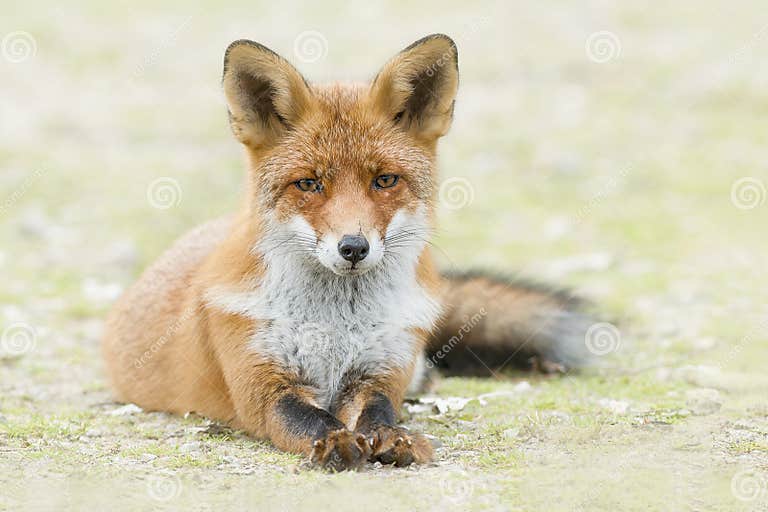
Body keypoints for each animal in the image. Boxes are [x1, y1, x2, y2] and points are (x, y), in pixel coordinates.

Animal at [103, 34, 595, 471]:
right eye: (308, 183)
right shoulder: (263, 387)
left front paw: (395, 438)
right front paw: (336, 442)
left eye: (384, 180)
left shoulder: (379, 372)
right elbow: (310, 420)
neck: (337, 325)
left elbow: (379, 414)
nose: (353, 246)